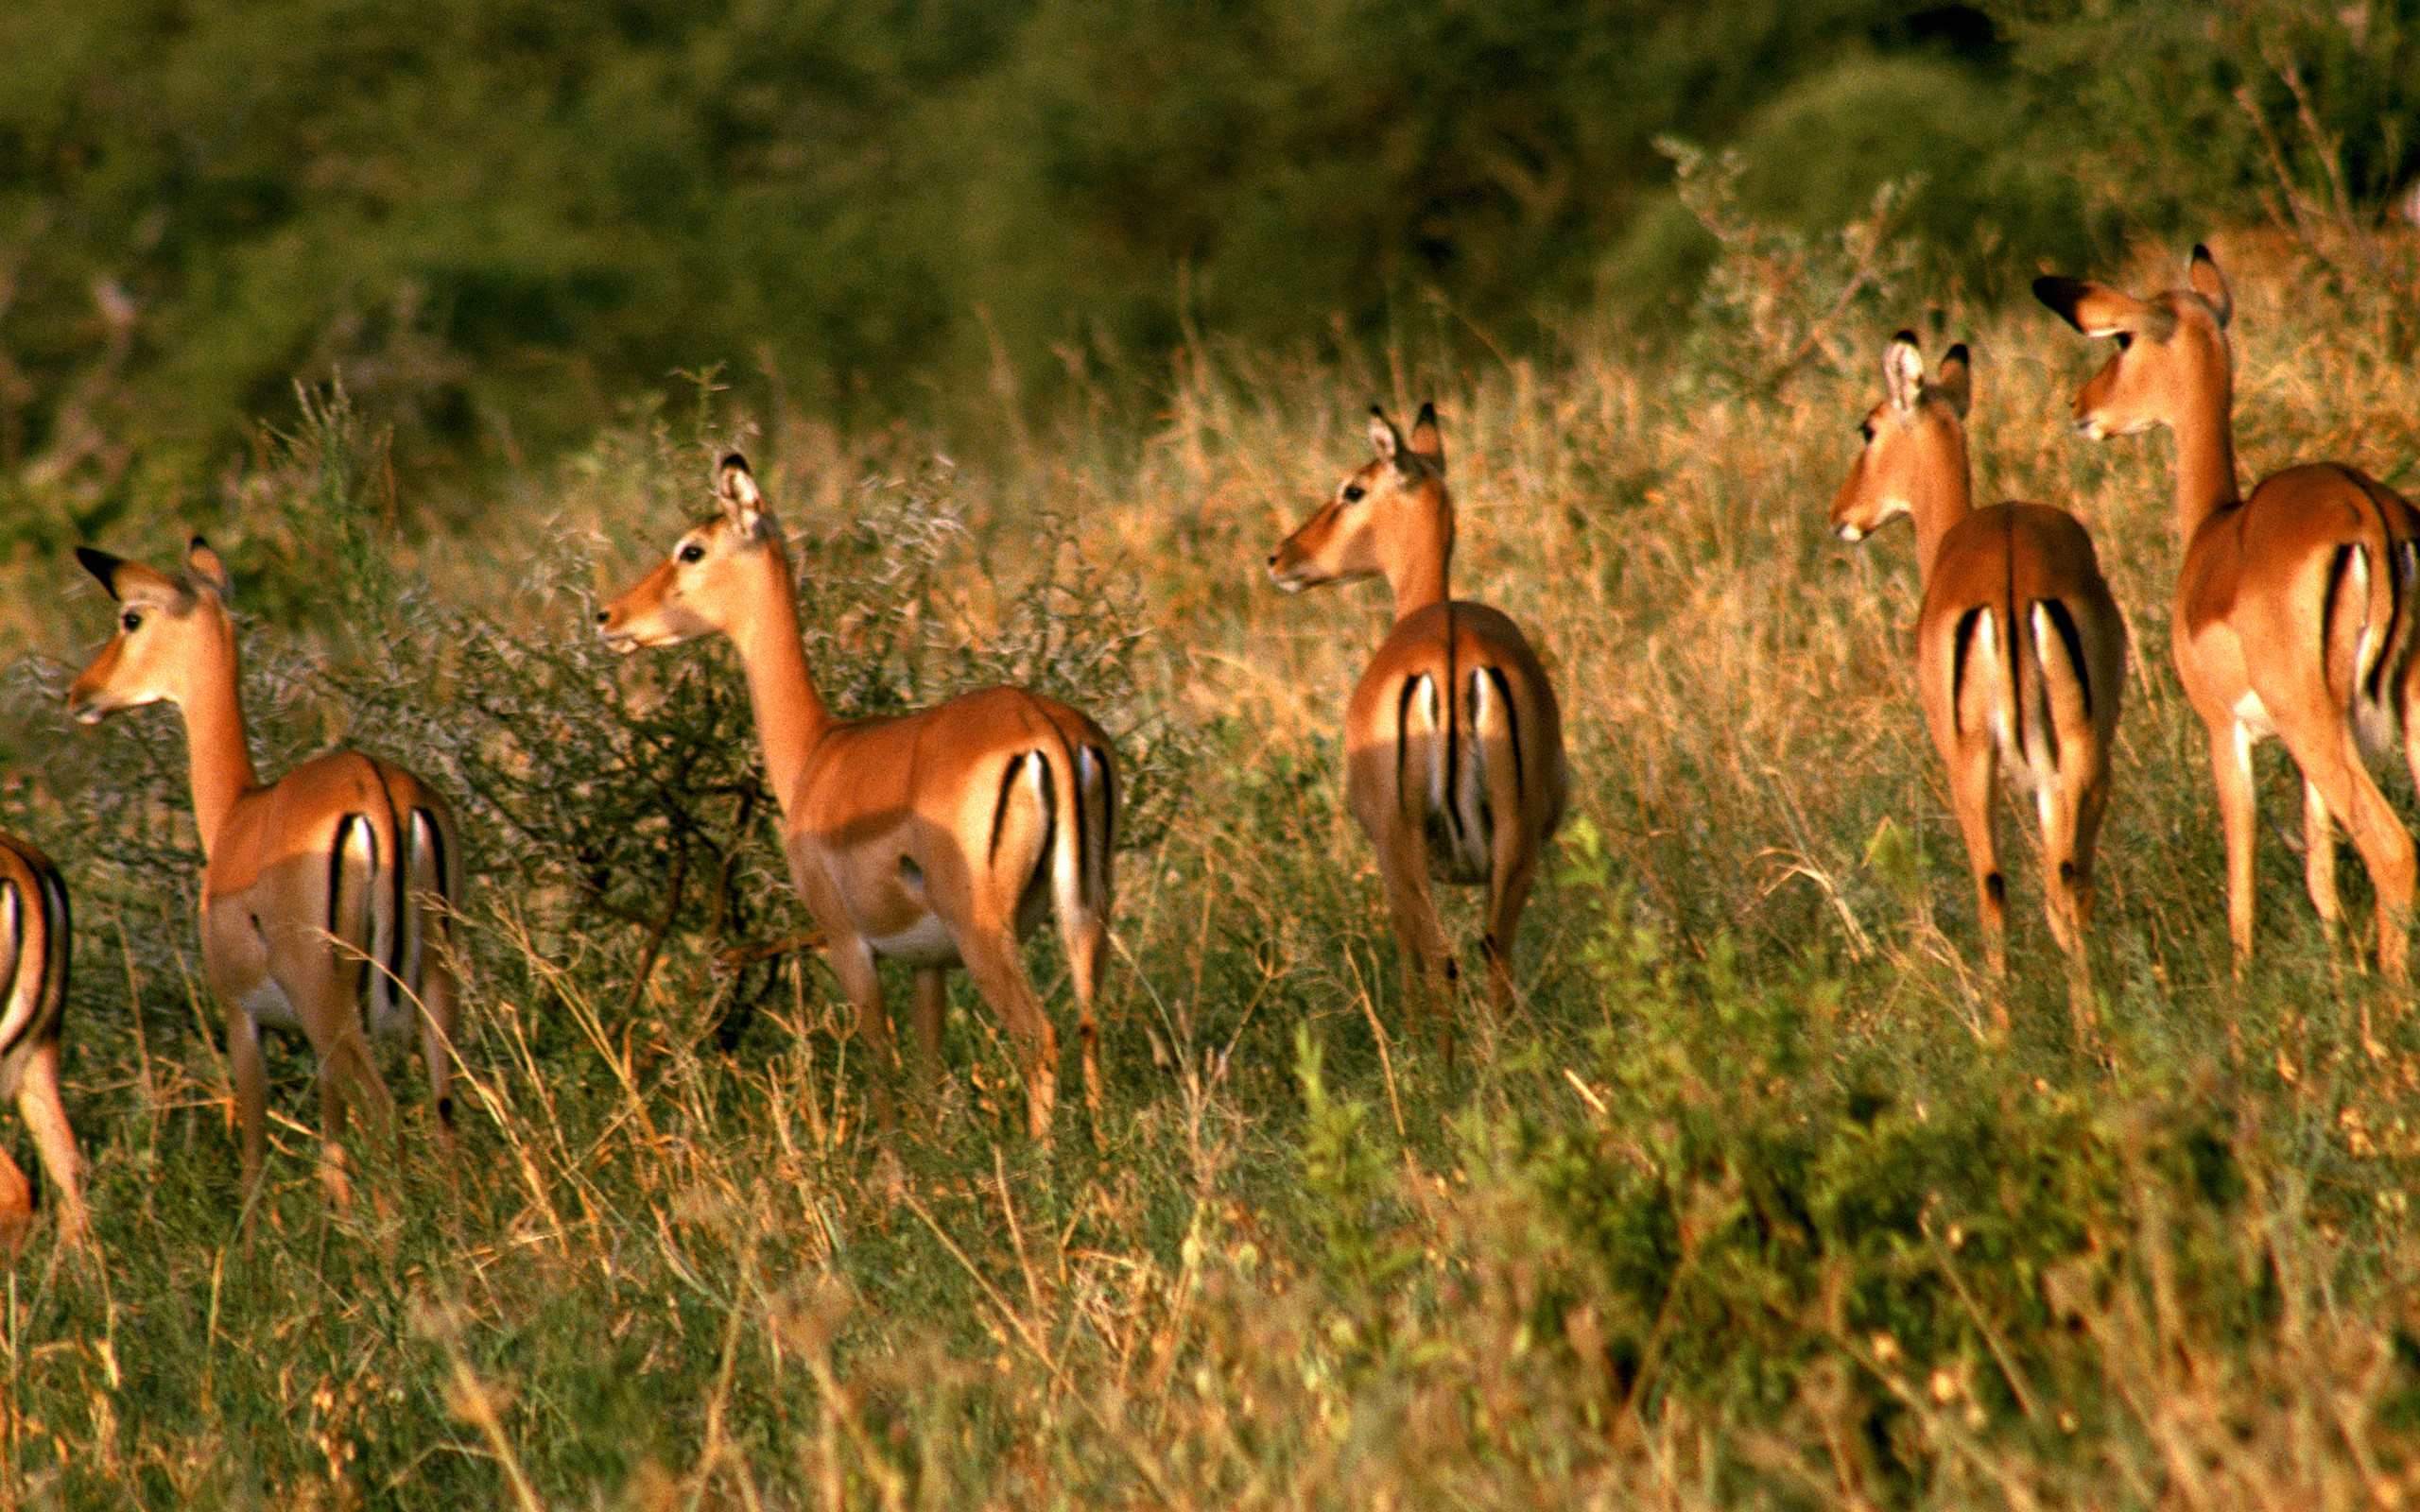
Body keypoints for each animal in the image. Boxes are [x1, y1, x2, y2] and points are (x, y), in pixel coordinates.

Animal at [68, 540, 461, 1215]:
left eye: (131, 618)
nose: (80, 692)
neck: (237, 816)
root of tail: (376, 790)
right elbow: (332, 1148)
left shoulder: (241, 1019)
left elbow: (254, 1155)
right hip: (432, 988)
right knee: (446, 1115)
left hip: (330, 1005)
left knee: (386, 1117)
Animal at [596, 455, 1116, 1139]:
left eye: (692, 548)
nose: (608, 616)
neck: (820, 754)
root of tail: (1045, 728)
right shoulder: (929, 964)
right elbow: (926, 1074)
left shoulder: (849, 946)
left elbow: (884, 1072)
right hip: (1084, 914)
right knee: (1089, 1025)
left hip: (985, 933)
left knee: (1040, 1037)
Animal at [1268, 404, 1567, 1055]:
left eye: (1353, 489)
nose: (1278, 558)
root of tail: (1451, 656)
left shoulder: (1386, 856)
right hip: (1517, 842)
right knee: (1493, 956)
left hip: (1404, 848)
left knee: (1441, 961)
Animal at [1831, 333, 2126, 1003]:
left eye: (1868, 428)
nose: (1841, 514)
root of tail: (2009, 580)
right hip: (2078, 754)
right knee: (2065, 888)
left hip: (1975, 767)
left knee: (1998, 892)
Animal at [2036, 247, 2420, 979]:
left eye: (2122, 339)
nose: (2079, 405)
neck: (2212, 532)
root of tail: (2367, 513)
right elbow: (2321, 874)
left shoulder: (2225, 730)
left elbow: (2241, 879)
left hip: (2313, 721)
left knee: (2394, 854)